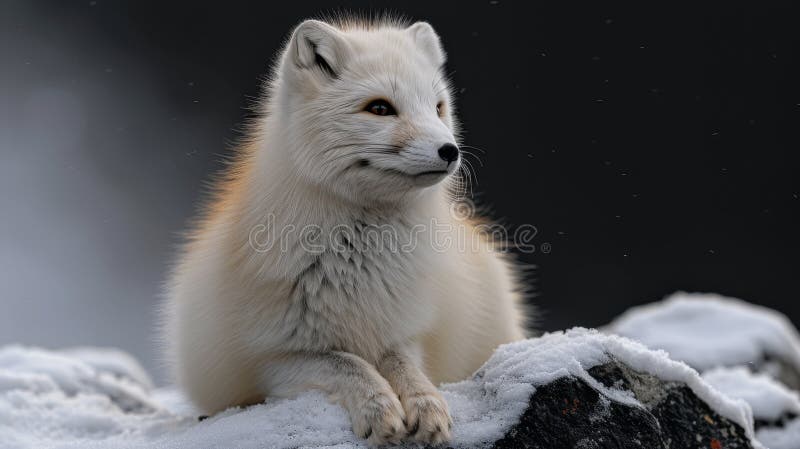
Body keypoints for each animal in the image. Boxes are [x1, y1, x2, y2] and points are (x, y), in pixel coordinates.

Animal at [162, 17, 529, 446]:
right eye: (380, 108)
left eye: (438, 108)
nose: (450, 151)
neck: (357, 260)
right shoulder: (270, 361)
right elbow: (346, 363)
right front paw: (378, 408)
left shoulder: (406, 330)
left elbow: (404, 365)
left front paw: (426, 405)